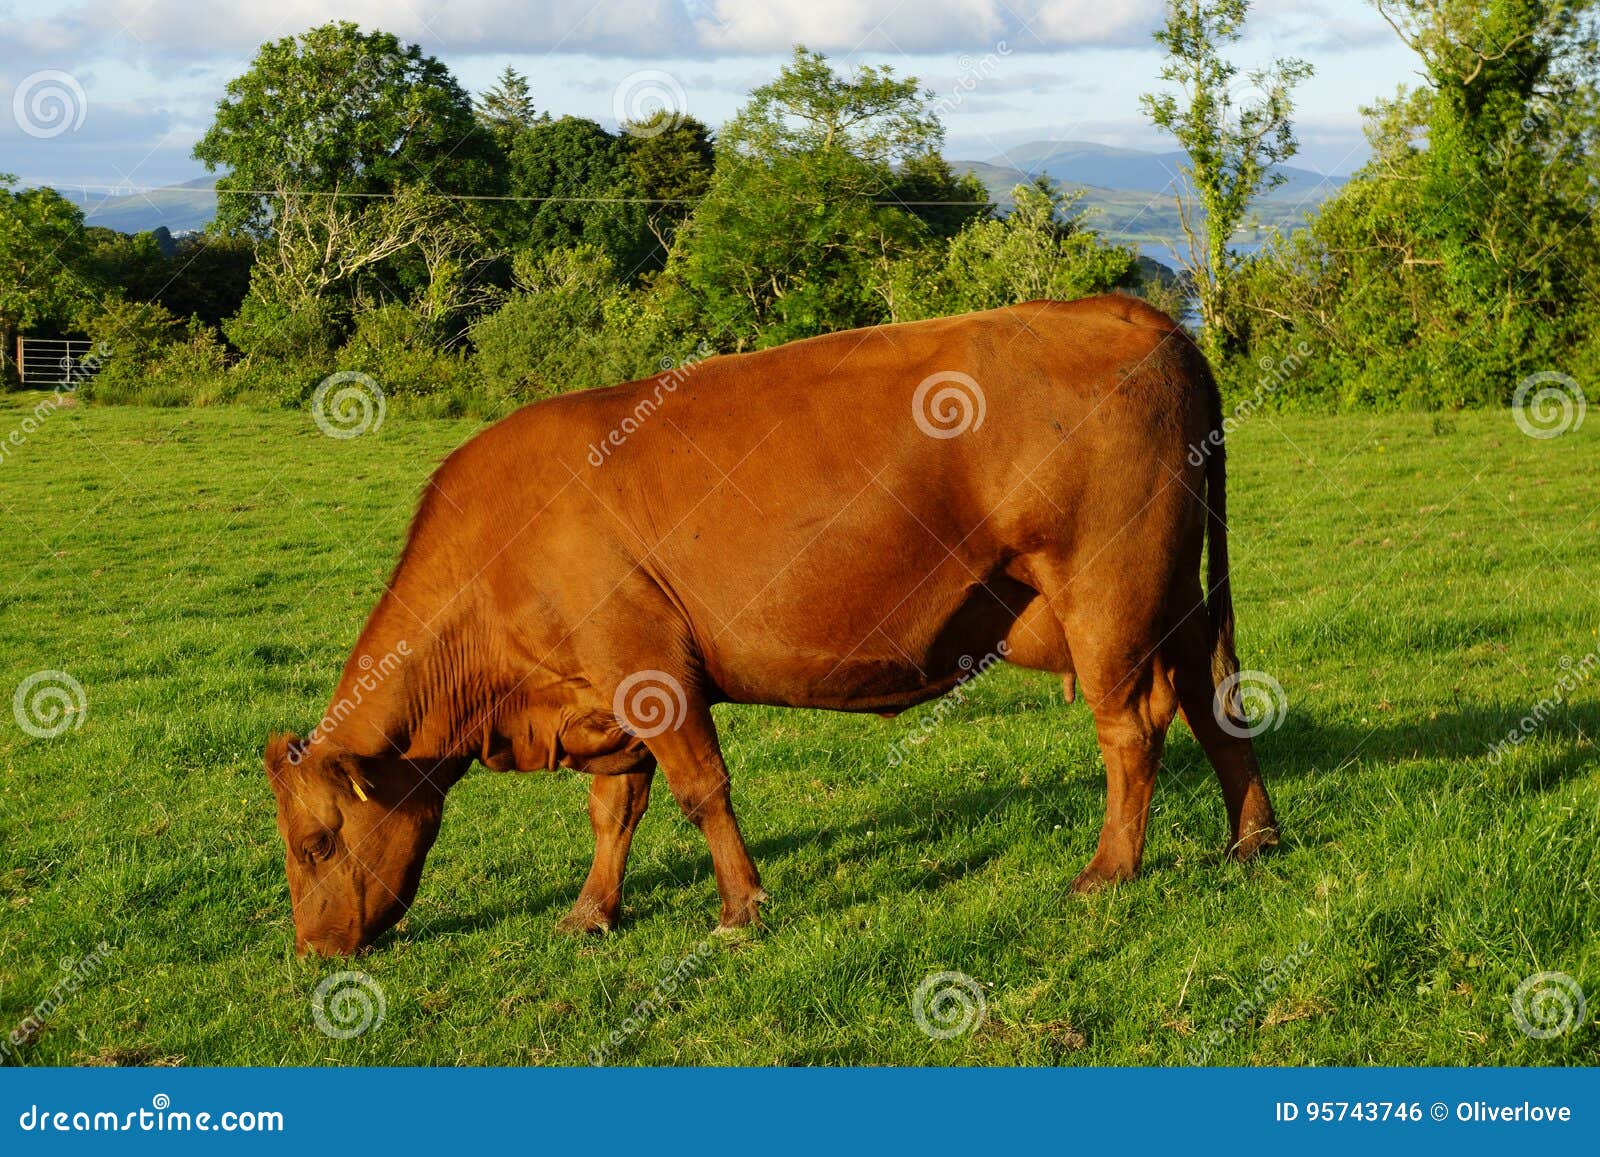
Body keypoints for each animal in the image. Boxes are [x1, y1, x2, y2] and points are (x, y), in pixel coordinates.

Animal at [264, 296, 1278, 955]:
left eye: (315, 843)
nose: (314, 947)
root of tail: (1133, 311)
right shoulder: (604, 691)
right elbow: (613, 808)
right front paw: (593, 911)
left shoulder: (647, 666)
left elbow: (700, 789)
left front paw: (741, 907)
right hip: (1171, 591)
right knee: (1210, 699)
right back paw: (1252, 836)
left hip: (1107, 590)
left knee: (1132, 726)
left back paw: (1109, 868)